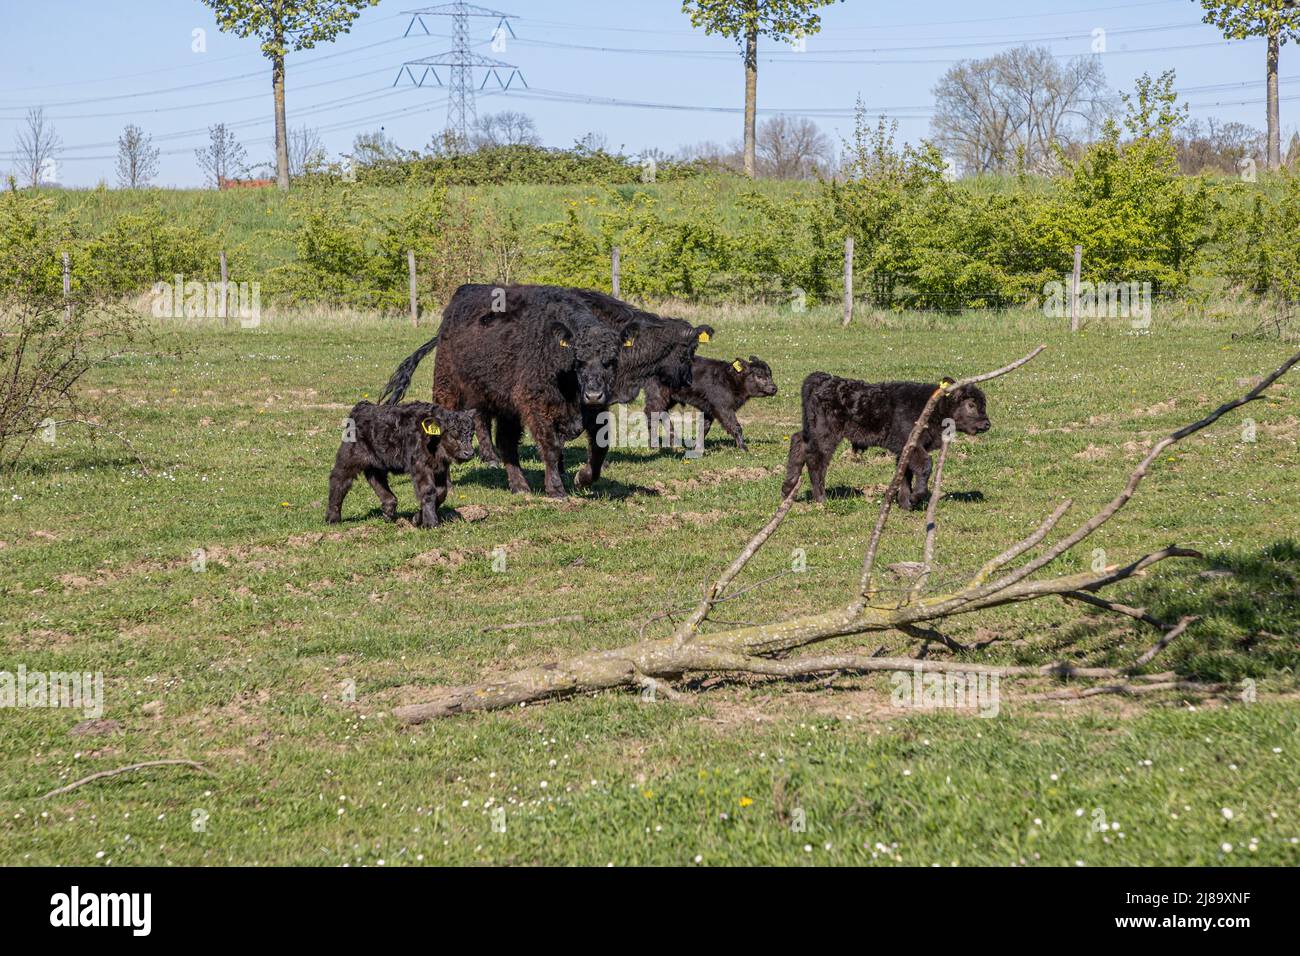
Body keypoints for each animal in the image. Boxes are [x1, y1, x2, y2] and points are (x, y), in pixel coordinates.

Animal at [326, 401, 477, 527]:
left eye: (472, 434)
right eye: (453, 434)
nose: (469, 453)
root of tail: (362, 406)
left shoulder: (440, 467)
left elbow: (441, 492)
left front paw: (418, 518)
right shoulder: (420, 464)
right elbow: (428, 491)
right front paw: (431, 523)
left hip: (378, 460)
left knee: (376, 478)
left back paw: (388, 510)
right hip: (350, 454)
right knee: (339, 479)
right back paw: (332, 519)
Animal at [379, 284, 622, 498]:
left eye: (610, 361)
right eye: (578, 360)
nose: (593, 394)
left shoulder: (596, 411)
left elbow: (600, 447)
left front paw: (583, 478)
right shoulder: (536, 405)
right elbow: (551, 447)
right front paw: (556, 490)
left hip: (505, 405)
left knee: (506, 444)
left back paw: (519, 486)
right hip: (448, 389)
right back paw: (448, 484)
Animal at [642, 355, 777, 452]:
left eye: (770, 374)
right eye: (759, 375)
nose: (774, 388)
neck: (731, 380)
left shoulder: (709, 409)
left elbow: (704, 427)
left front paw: (697, 448)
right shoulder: (722, 407)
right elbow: (736, 427)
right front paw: (744, 449)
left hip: (669, 398)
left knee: (656, 414)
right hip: (658, 394)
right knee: (654, 413)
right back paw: (661, 443)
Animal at [781, 373, 991, 510]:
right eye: (971, 404)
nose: (986, 424)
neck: (935, 406)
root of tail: (821, 379)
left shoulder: (903, 450)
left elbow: (905, 473)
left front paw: (906, 503)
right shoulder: (912, 445)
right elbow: (924, 465)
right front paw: (916, 497)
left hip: (812, 431)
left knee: (798, 442)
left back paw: (787, 490)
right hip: (826, 436)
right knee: (816, 459)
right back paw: (821, 499)